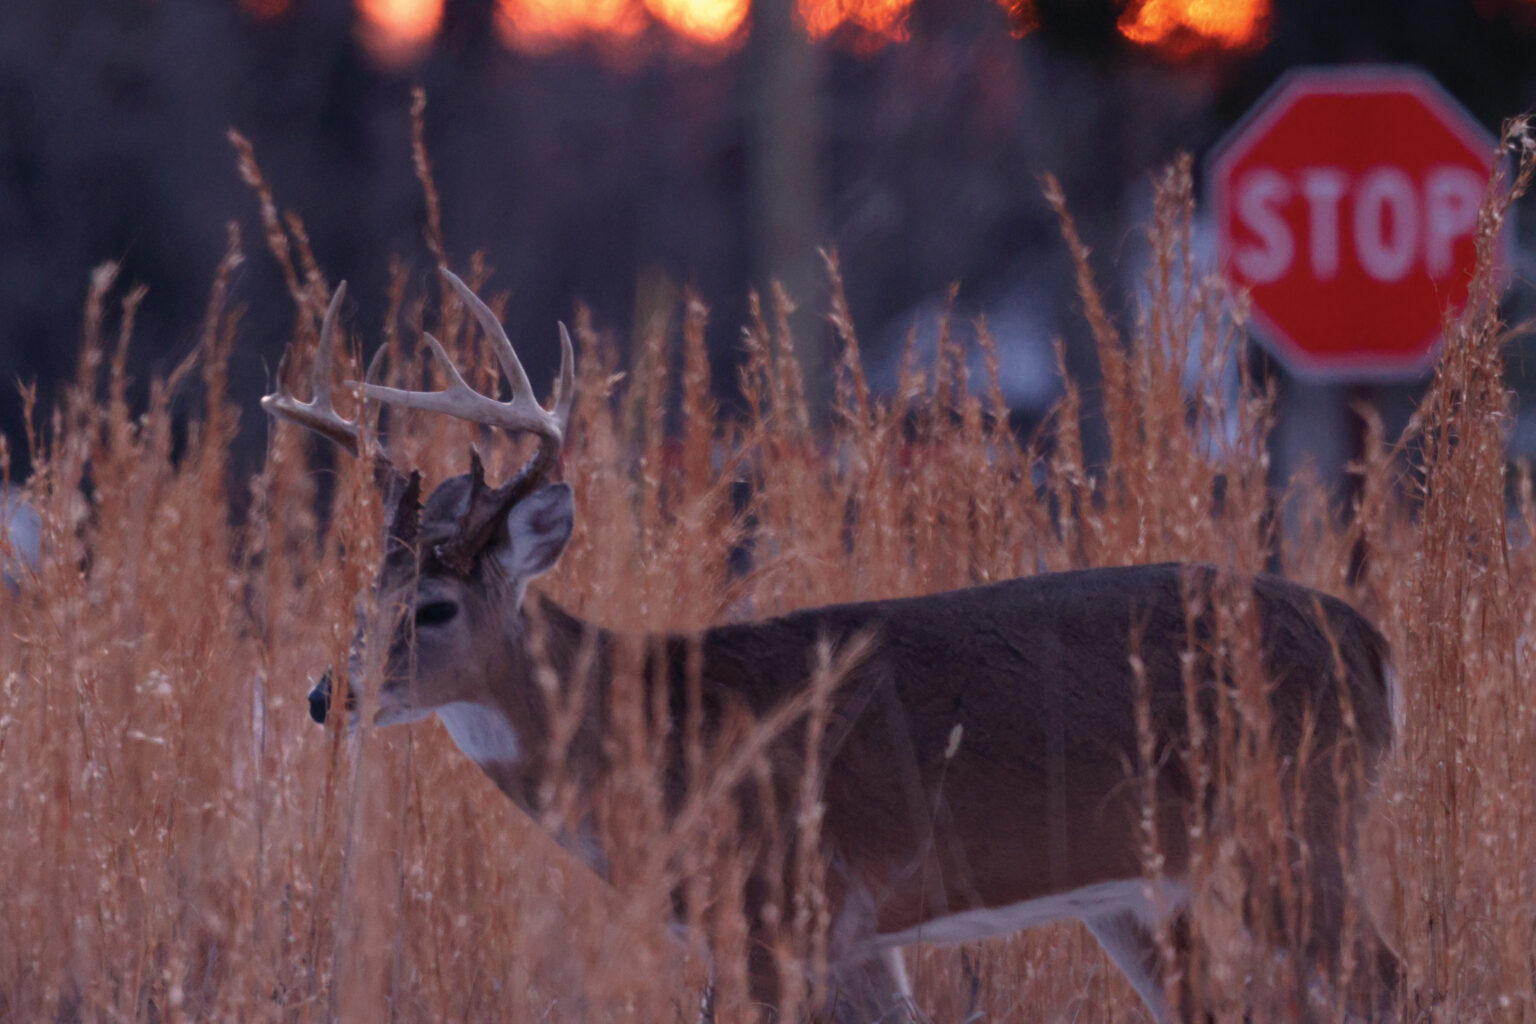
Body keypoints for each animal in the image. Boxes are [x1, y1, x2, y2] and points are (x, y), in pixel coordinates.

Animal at [265, 269, 1399, 1024]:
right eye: (366, 591)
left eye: (434, 608)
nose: (326, 695)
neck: (663, 732)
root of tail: (1373, 646)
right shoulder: (849, 935)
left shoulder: (782, 903)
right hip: (1153, 884)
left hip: (1296, 823)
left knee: (1385, 977)